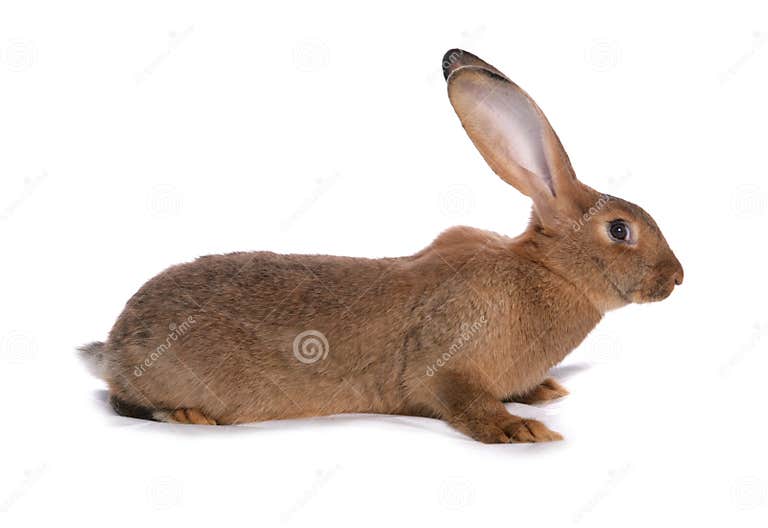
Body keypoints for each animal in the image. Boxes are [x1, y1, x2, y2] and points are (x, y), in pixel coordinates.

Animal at [79, 49, 683, 443]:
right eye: (620, 230)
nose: (677, 277)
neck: (547, 270)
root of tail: (113, 345)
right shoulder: (446, 364)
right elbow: (462, 400)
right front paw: (521, 430)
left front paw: (543, 393)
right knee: (121, 400)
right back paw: (186, 417)